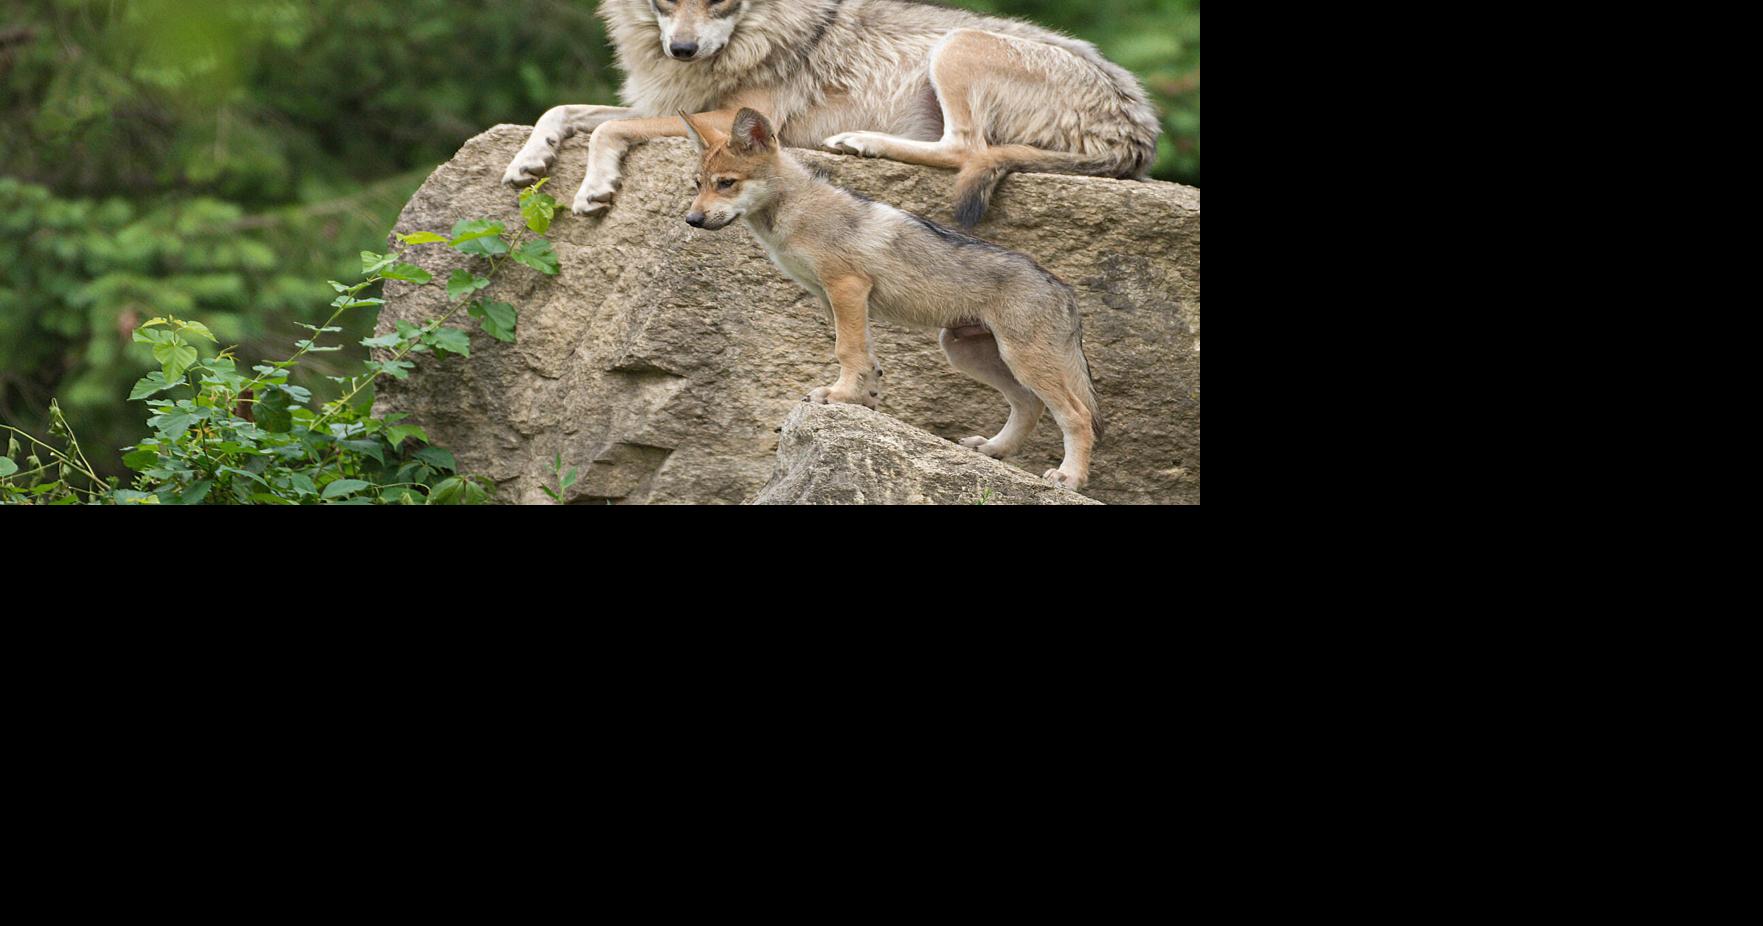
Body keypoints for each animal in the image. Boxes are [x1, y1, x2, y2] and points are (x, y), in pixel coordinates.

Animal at [504, 0, 1160, 227]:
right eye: (667, 1)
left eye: (719, 0)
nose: (682, 48)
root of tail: (1137, 131)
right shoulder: (671, 105)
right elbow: (562, 108)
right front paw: (528, 159)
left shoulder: (729, 119)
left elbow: (610, 127)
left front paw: (593, 187)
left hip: (957, 46)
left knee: (966, 149)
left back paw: (860, 142)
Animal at [681, 108, 1102, 489]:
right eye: (698, 184)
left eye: (726, 183)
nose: (692, 220)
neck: (794, 212)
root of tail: (1064, 290)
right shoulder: (834, 299)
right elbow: (865, 357)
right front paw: (862, 398)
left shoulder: (847, 288)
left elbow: (846, 351)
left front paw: (839, 395)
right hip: (967, 352)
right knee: (1028, 405)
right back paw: (993, 449)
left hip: (1019, 360)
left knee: (1076, 415)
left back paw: (1069, 477)